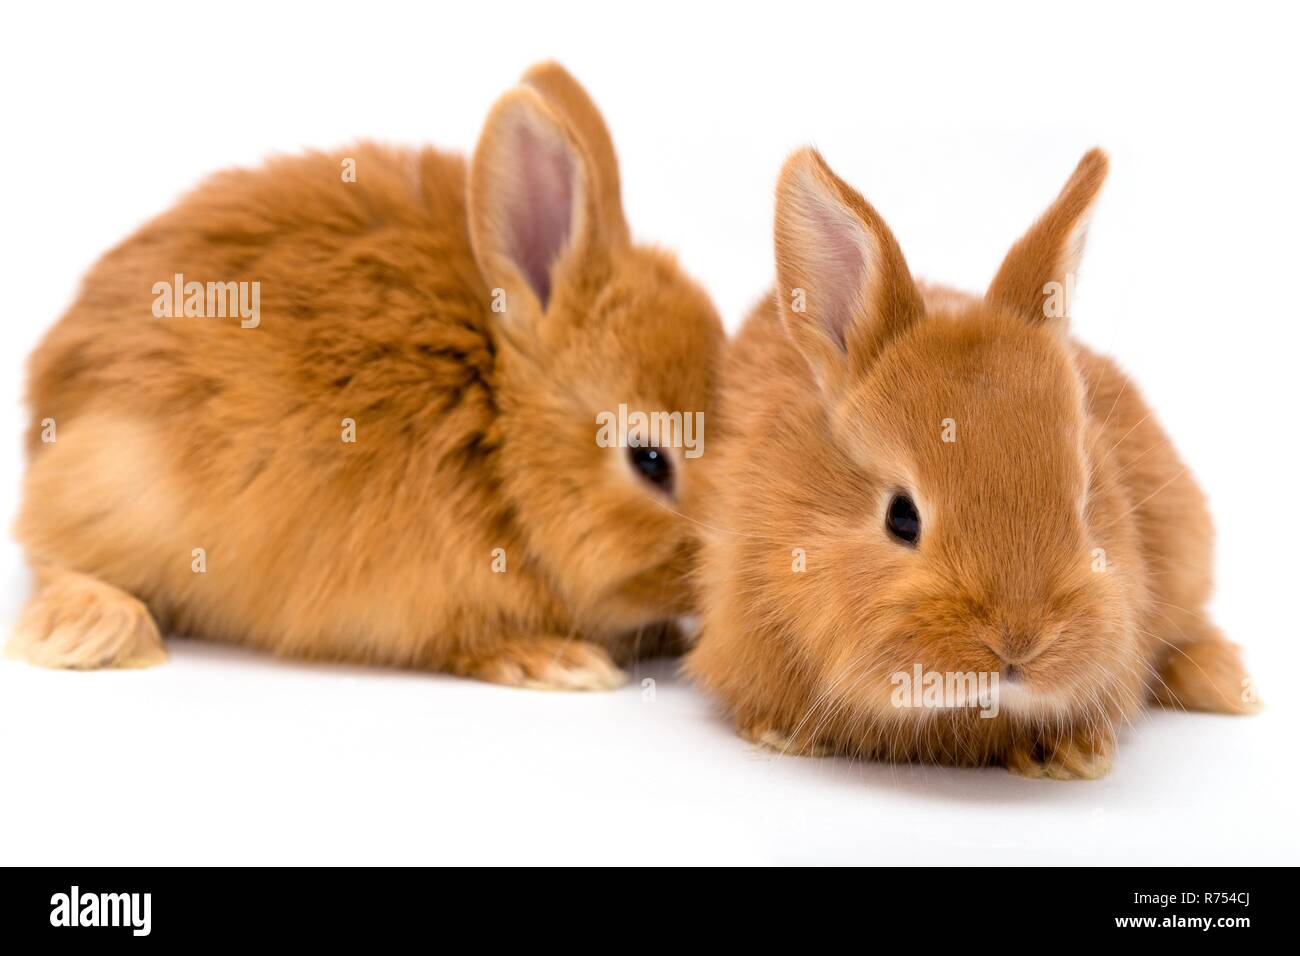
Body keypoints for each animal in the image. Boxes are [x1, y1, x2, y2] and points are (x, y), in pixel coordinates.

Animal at [10, 61, 724, 690]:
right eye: (649, 460)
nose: (716, 569)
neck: (499, 423)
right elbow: (465, 639)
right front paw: (554, 662)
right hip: (123, 482)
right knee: (50, 553)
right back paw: (92, 628)